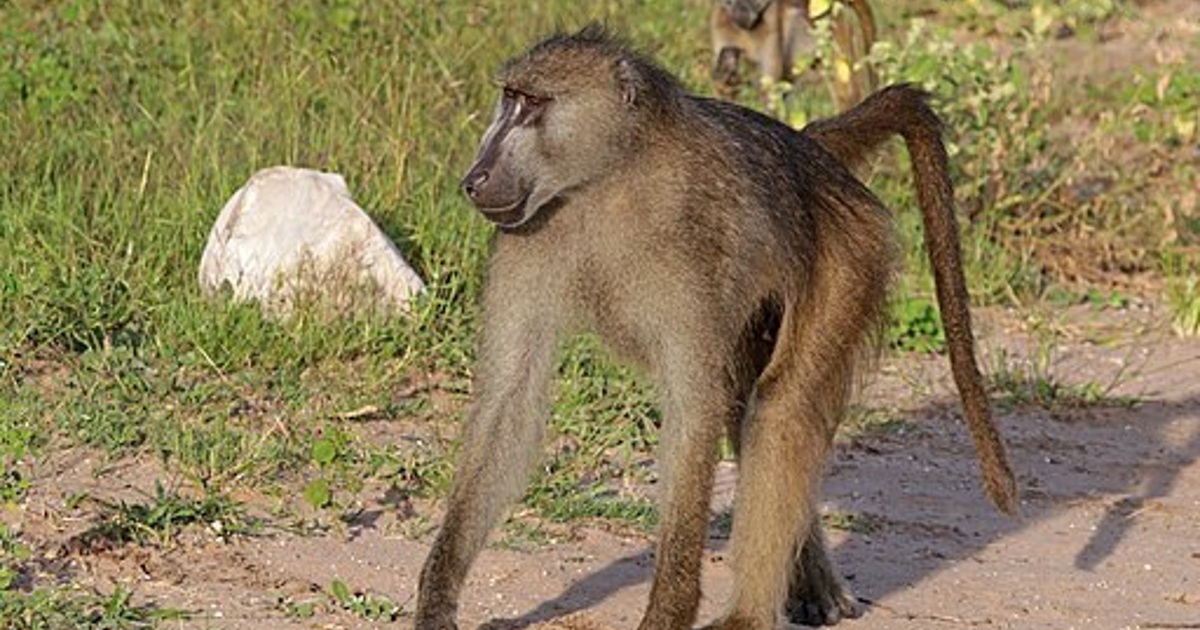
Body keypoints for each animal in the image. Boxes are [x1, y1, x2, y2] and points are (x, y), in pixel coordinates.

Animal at [415, 26, 1016, 630]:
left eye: (533, 105)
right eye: (508, 98)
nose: (475, 179)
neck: (607, 177)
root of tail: (808, 153)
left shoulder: (693, 246)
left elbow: (693, 413)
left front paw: (668, 612)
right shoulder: (525, 238)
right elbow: (510, 401)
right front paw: (436, 601)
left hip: (851, 252)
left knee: (779, 407)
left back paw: (748, 614)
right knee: (751, 409)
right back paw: (811, 581)